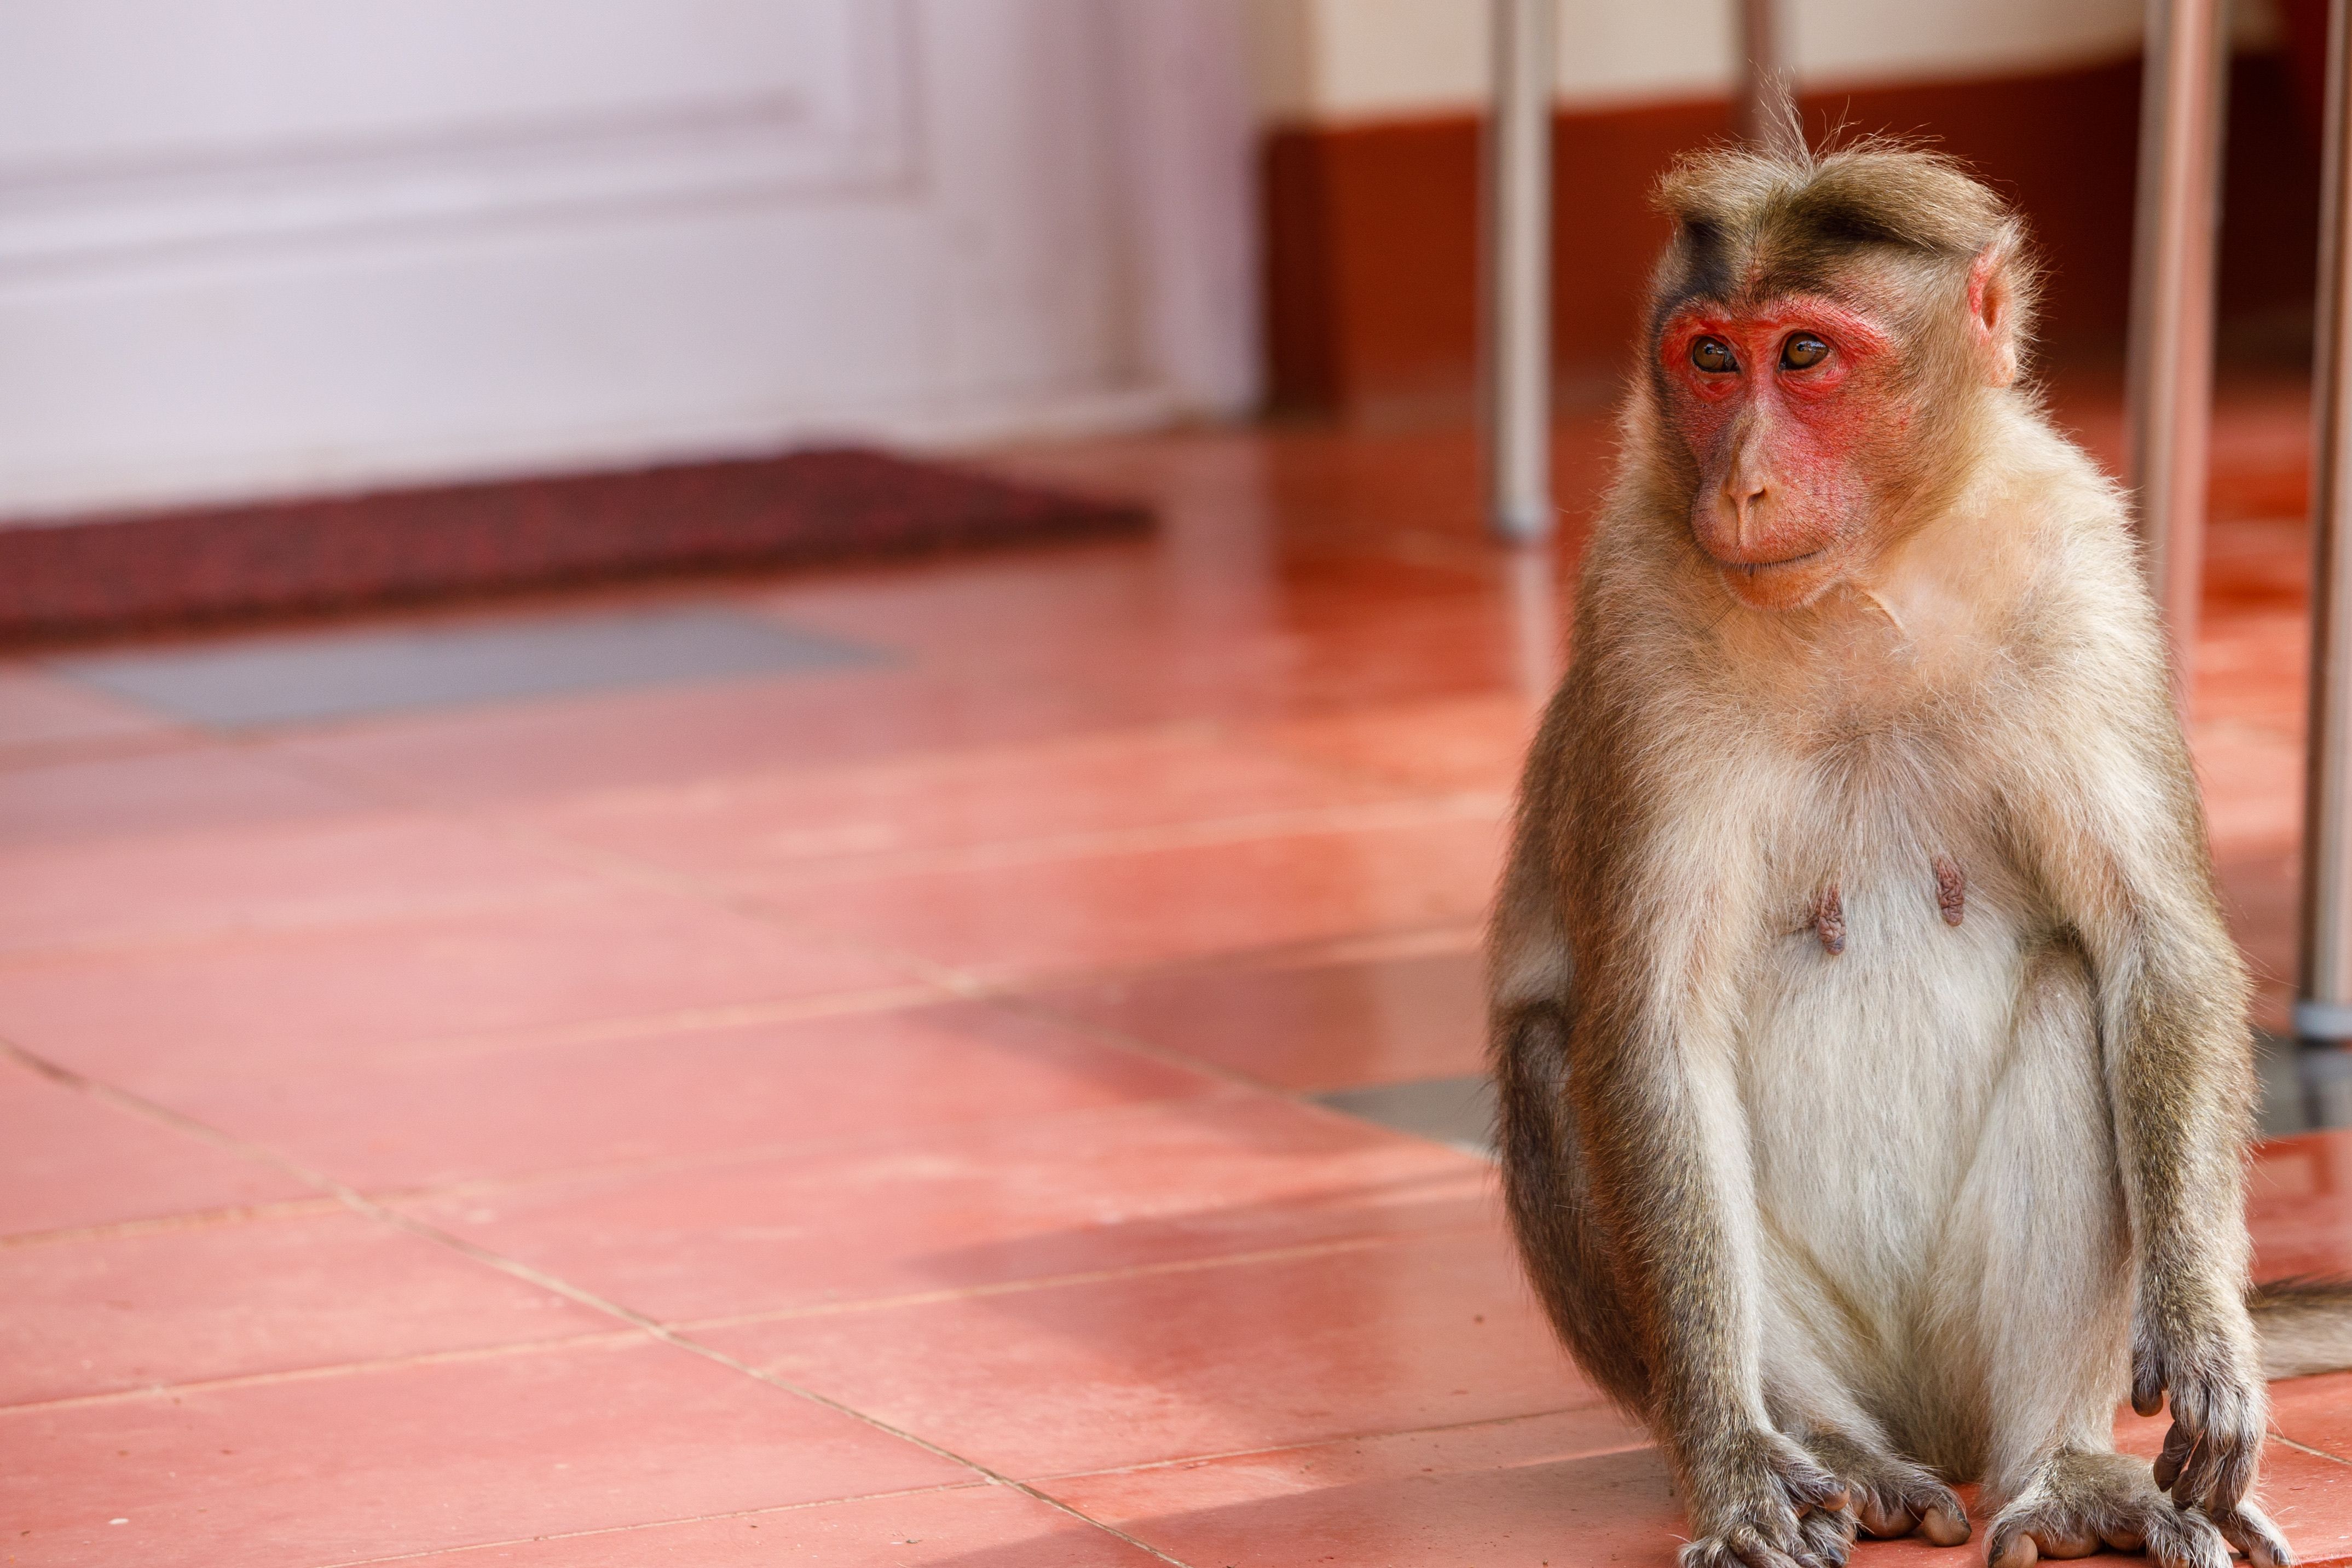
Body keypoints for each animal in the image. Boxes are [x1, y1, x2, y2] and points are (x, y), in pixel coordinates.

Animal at [1489, 138, 2352, 1568]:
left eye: (1802, 355)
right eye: (1708, 359)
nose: (1739, 483)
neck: (1863, 586)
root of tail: (1935, 1432)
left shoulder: (2080, 565)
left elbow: (2152, 945)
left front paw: (2203, 1335)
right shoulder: (1635, 613)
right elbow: (1651, 1028)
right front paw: (1731, 1467)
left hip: (1965, 1362)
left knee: (2073, 991)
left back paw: (2063, 1470)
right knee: (1556, 1059)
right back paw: (1827, 1453)